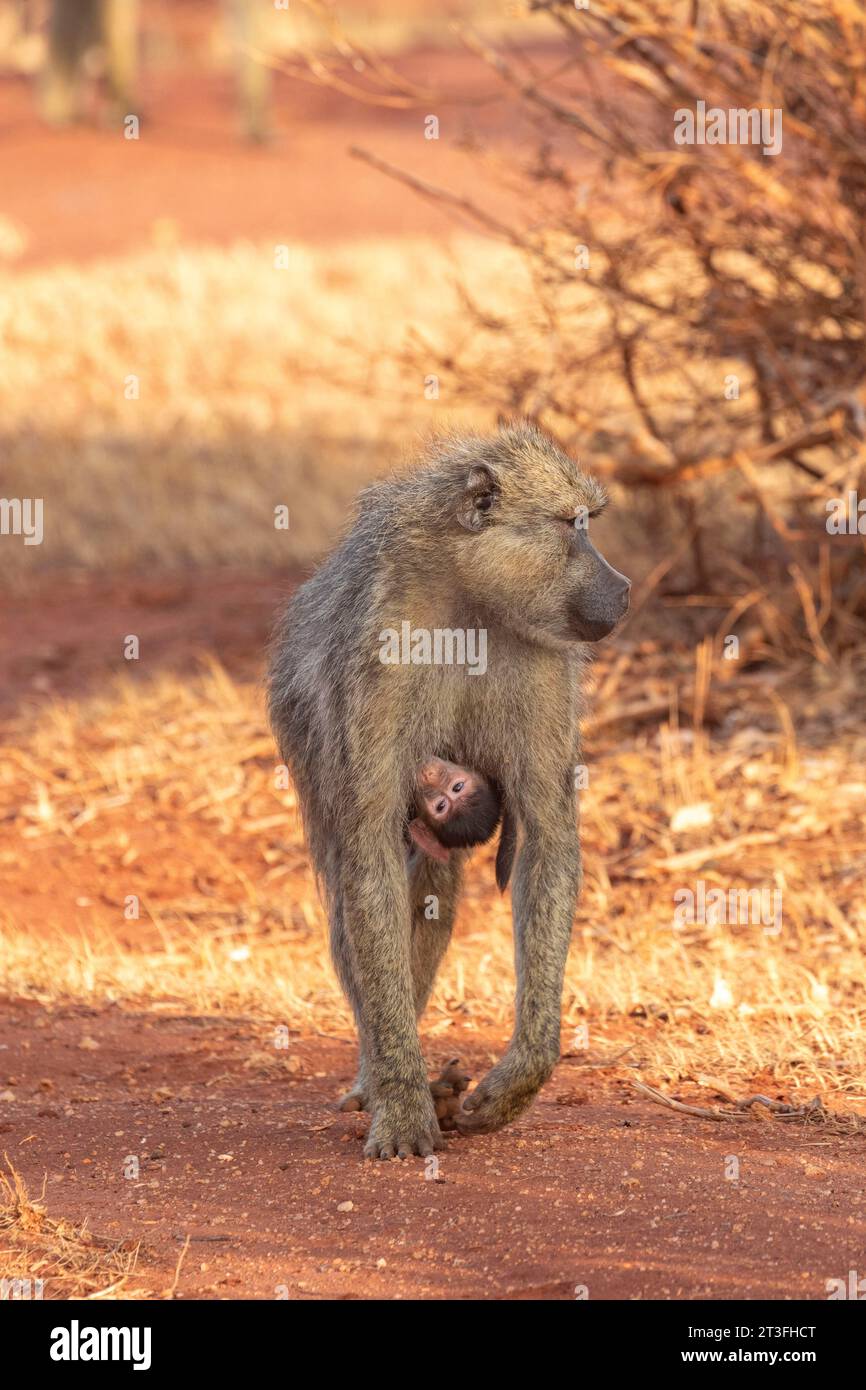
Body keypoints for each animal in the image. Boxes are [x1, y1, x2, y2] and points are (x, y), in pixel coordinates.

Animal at [268, 421, 630, 1159]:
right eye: (573, 524)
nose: (625, 588)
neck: (469, 595)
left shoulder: (543, 660)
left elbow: (546, 837)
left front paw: (519, 1077)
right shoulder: (380, 649)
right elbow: (369, 849)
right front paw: (403, 1103)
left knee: (435, 877)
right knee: (356, 894)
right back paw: (379, 1078)